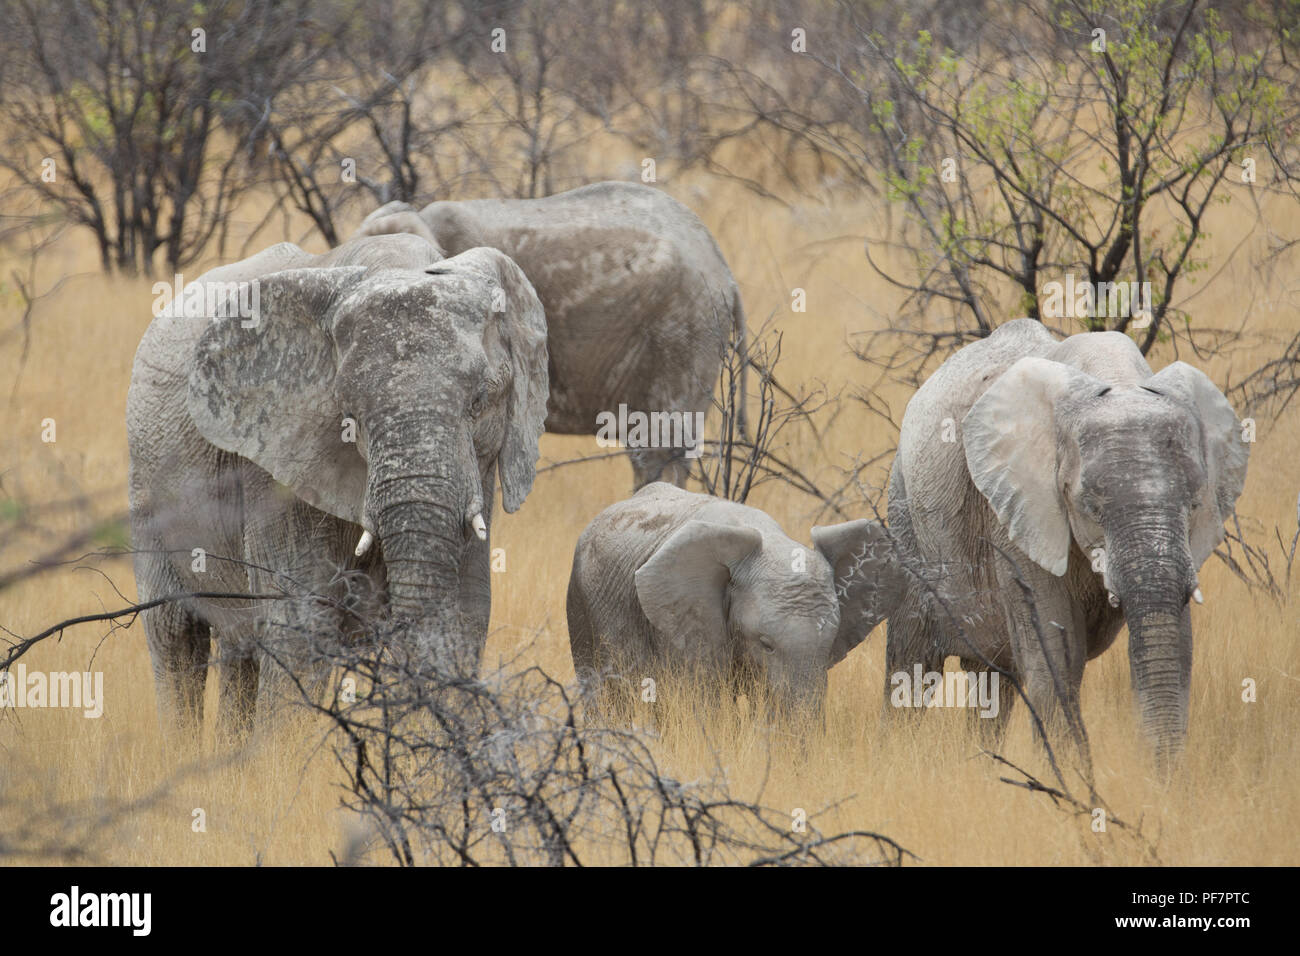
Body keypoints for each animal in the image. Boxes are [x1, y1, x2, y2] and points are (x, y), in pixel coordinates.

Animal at [126, 232, 549, 739]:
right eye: (350, 415)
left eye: (480, 401)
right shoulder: (272, 463)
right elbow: (301, 618)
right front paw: (283, 754)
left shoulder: (478, 471)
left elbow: (467, 612)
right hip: (145, 486)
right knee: (175, 634)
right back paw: (182, 748)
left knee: (238, 643)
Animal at [883, 318, 1249, 765]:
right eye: (1090, 506)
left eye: (1195, 503)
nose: (1159, 776)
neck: (1116, 379)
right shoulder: (1016, 514)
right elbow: (1058, 656)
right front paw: (1073, 778)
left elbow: (1178, 647)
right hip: (906, 517)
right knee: (911, 665)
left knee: (993, 680)